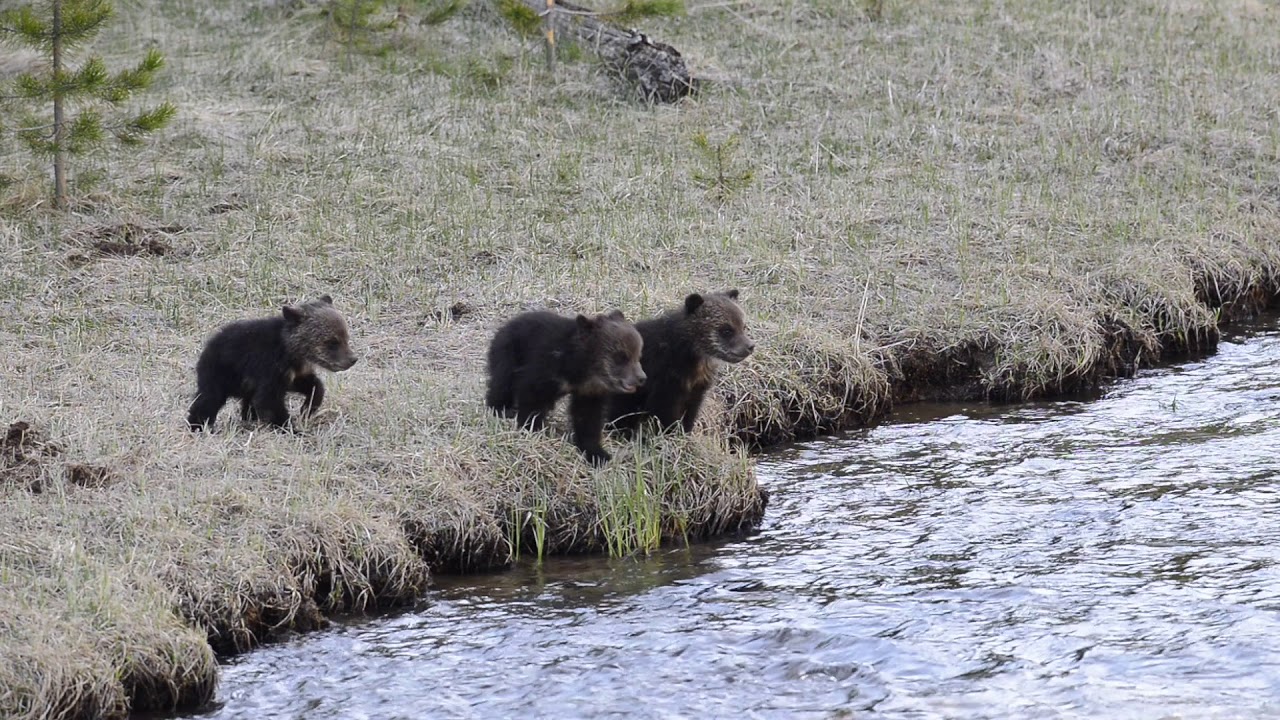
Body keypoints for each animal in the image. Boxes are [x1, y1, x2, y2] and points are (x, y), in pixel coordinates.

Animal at [187, 295, 358, 431]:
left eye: (345, 337)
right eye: (332, 342)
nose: (352, 359)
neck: (291, 351)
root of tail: (207, 345)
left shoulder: (293, 372)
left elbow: (311, 385)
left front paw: (307, 409)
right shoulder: (269, 366)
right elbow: (269, 400)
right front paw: (291, 429)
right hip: (220, 373)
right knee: (209, 399)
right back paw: (198, 425)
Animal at [486, 309, 646, 466]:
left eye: (638, 355)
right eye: (621, 357)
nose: (641, 378)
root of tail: (505, 325)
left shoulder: (589, 391)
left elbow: (588, 418)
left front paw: (598, 454)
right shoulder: (545, 367)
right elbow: (531, 395)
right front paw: (532, 428)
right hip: (508, 351)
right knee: (502, 381)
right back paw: (502, 409)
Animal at [608, 289, 754, 435]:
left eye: (743, 326)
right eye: (727, 330)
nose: (750, 346)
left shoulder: (697, 386)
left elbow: (691, 410)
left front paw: (685, 431)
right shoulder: (665, 378)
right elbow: (664, 411)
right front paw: (670, 431)